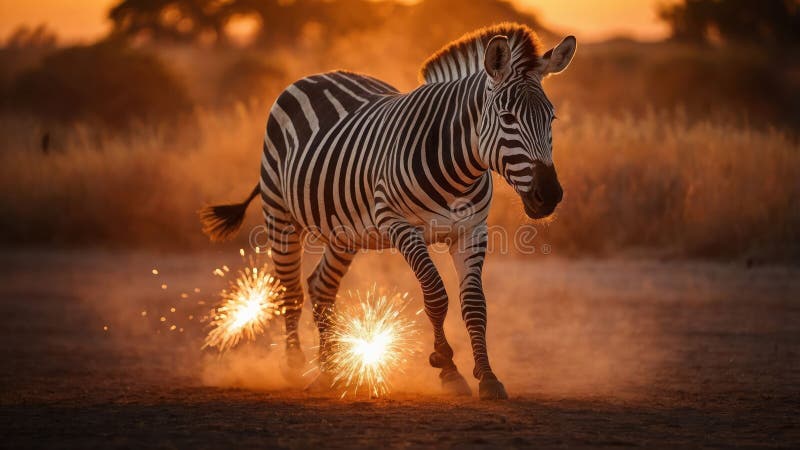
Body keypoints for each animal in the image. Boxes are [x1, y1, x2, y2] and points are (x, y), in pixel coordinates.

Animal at [200, 23, 576, 399]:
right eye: (507, 118)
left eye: (552, 117)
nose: (549, 195)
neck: (458, 169)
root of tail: (317, 75)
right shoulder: (399, 224)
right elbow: (436, 295)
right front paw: (447, 368)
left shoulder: (472, 231)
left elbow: (474, 304)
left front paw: (487, 376)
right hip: (280, 213)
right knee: (290, 290)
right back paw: (294, 366)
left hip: (343, 231)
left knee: (320, 287)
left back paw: (328, 372)